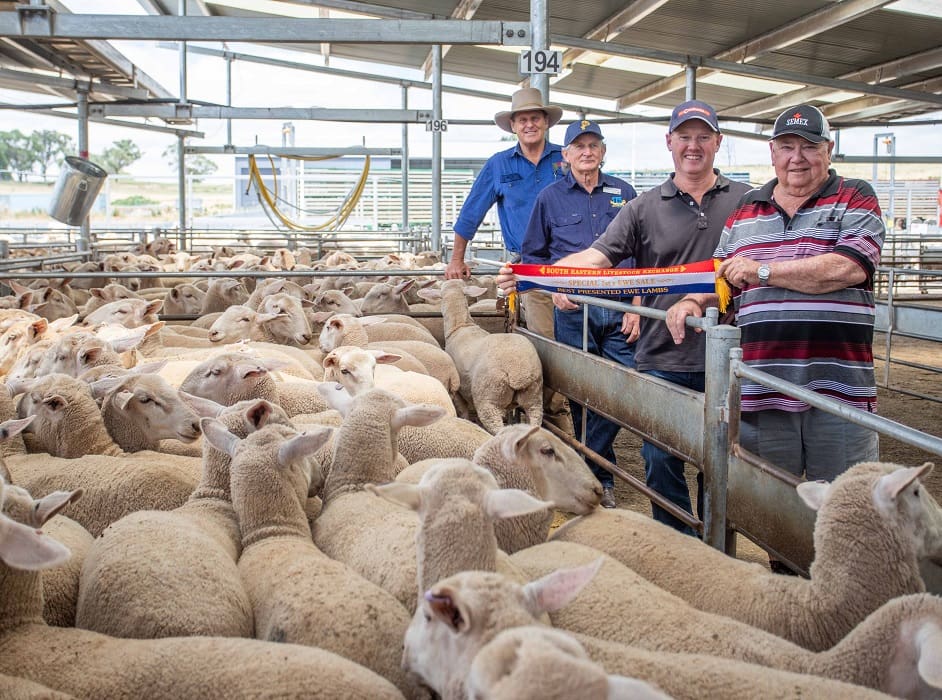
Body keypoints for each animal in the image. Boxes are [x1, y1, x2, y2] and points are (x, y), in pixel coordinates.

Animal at [436, 279, 542, 433]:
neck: (461, 325)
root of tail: (518, 371)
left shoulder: (459, 391)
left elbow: (463, 412)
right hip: (534, 395)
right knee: (535, 418)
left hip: (488, 397)